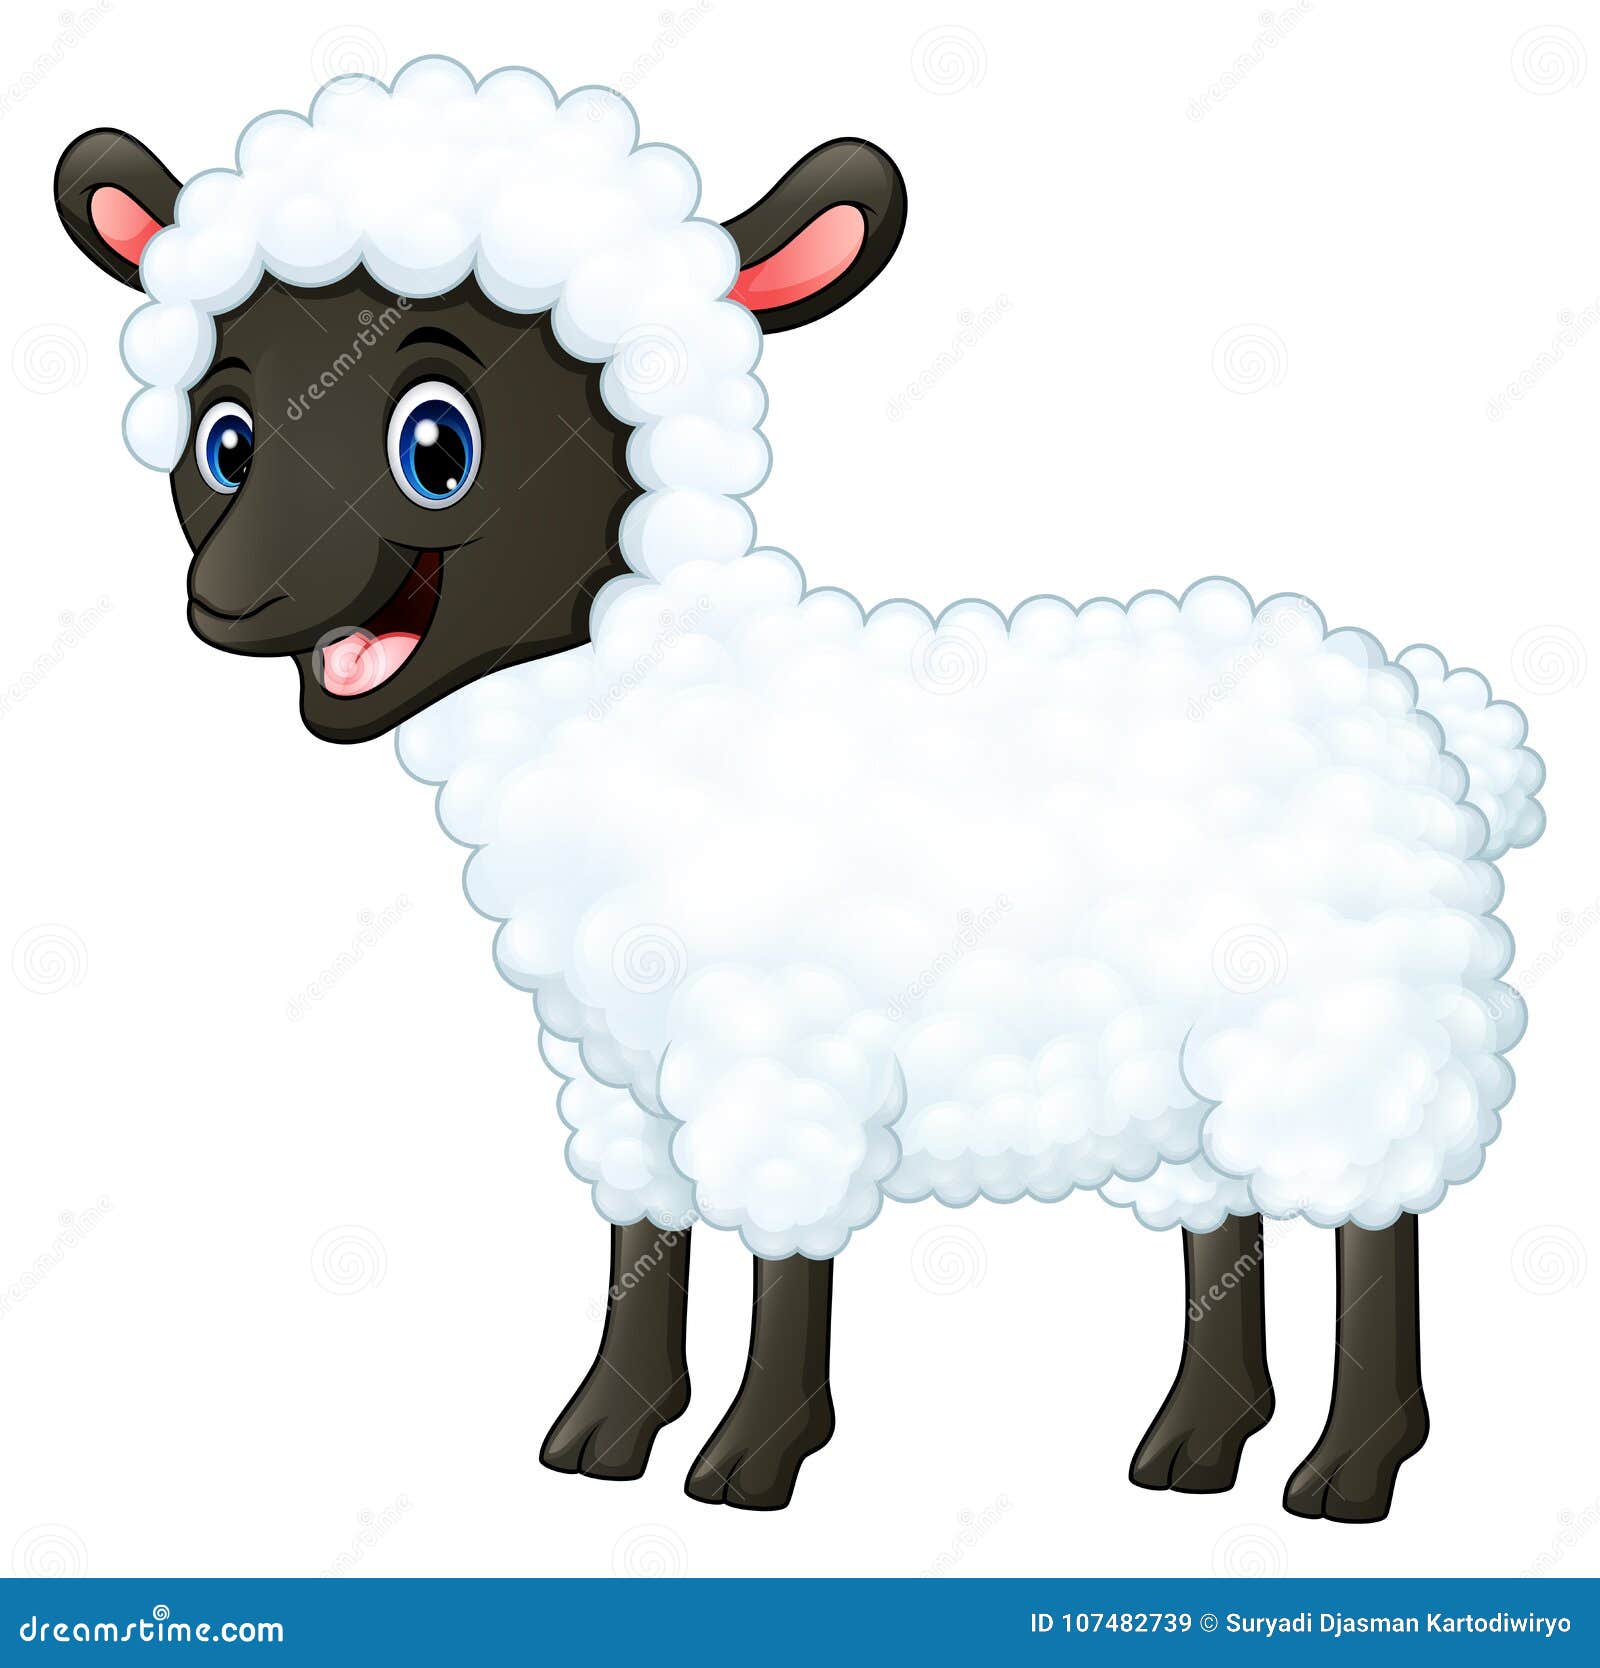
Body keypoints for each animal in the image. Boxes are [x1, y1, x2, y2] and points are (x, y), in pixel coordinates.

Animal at [55, 56, 1545, 1523]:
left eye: (438, 445)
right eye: (225, 438)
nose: (229, 603)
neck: (654, 689)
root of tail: (1424, 709)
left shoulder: (773, 1047)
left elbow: (782, 1253)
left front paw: (750, 1459)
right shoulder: (622, 1072)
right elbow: (643, 1235)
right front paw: (604, 1434)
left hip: (1349, 1022)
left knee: (1371, 1220)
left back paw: (1351, 1469)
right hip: (1195, 1062)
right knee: (1223, 1223)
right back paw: (1192, 1448)